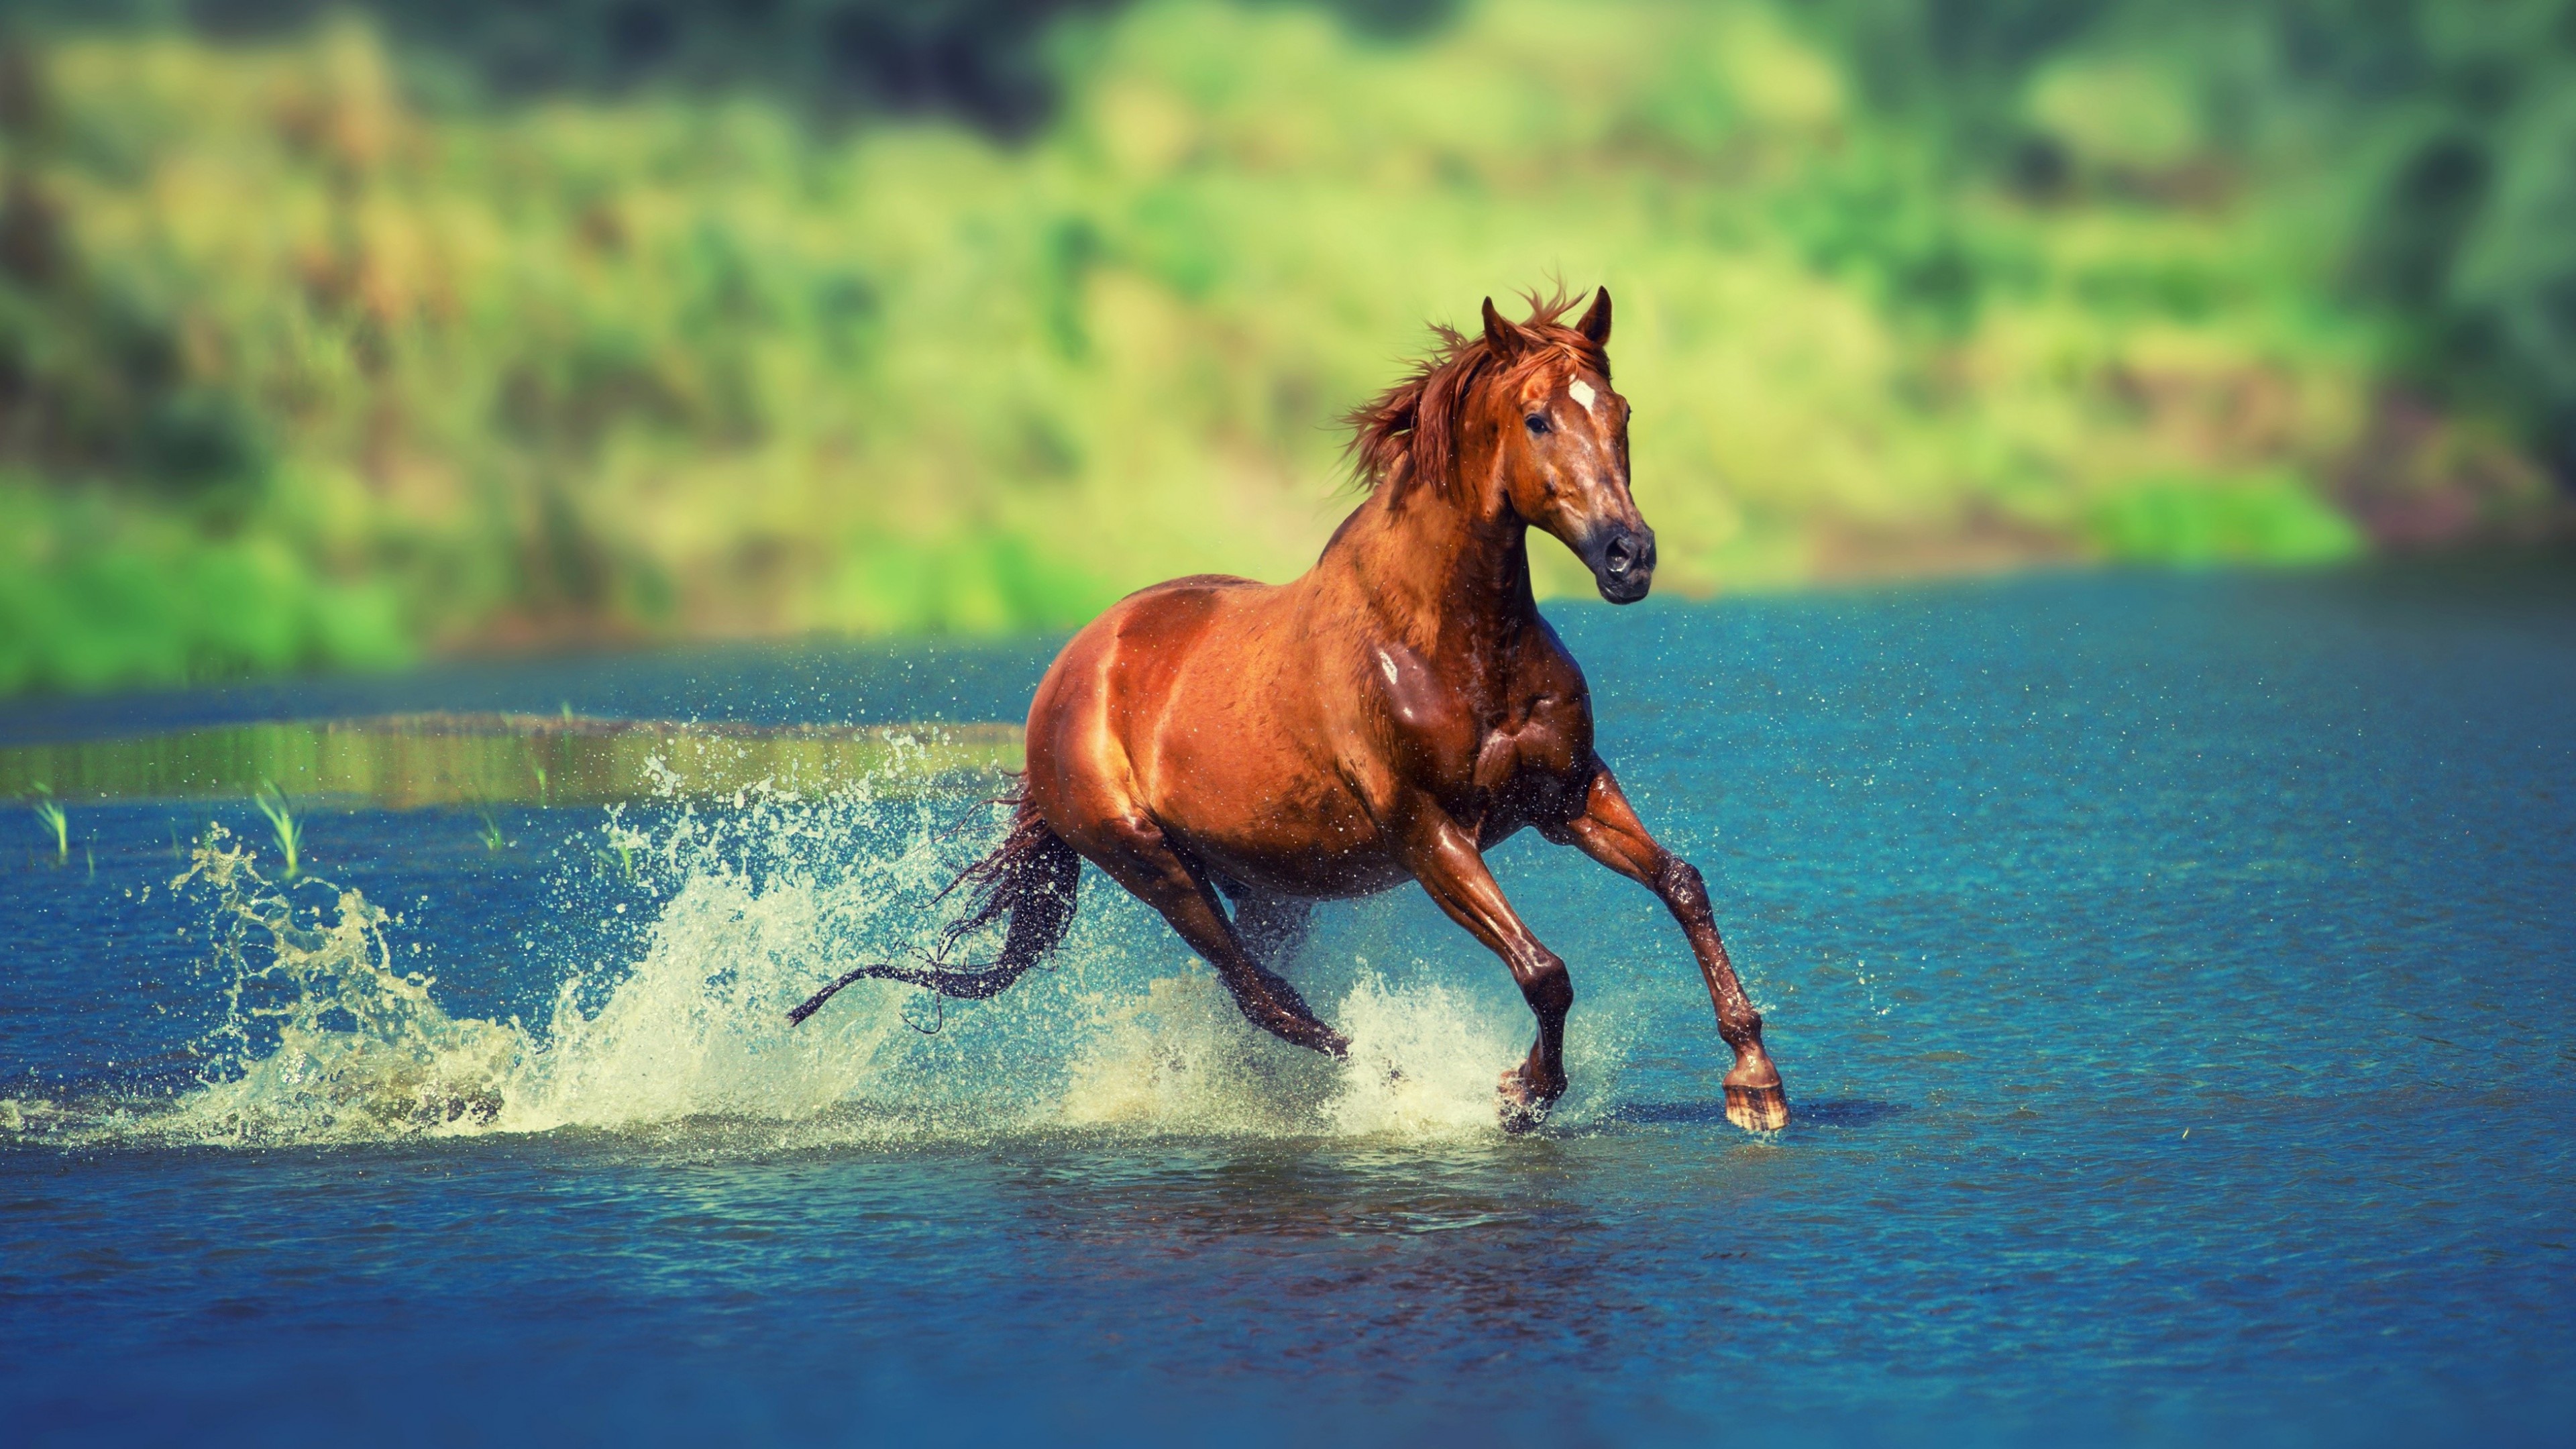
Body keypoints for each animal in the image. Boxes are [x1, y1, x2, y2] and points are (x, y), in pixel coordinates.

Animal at [791, 287, 1789, 1132]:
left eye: (1620, 414)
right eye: (1538, 417)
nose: (1630, 557)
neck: (1449, 642)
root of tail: (1066, 678)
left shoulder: (1566, 793)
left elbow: (1682, 883)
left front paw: (1755, 1084)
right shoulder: (1429, 831)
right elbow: (1544, 971)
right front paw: (1521, 1093)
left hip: (1267, 881)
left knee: (1259, 994)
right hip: (1150, 863)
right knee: (1264, 995)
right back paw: (1398, 1081)